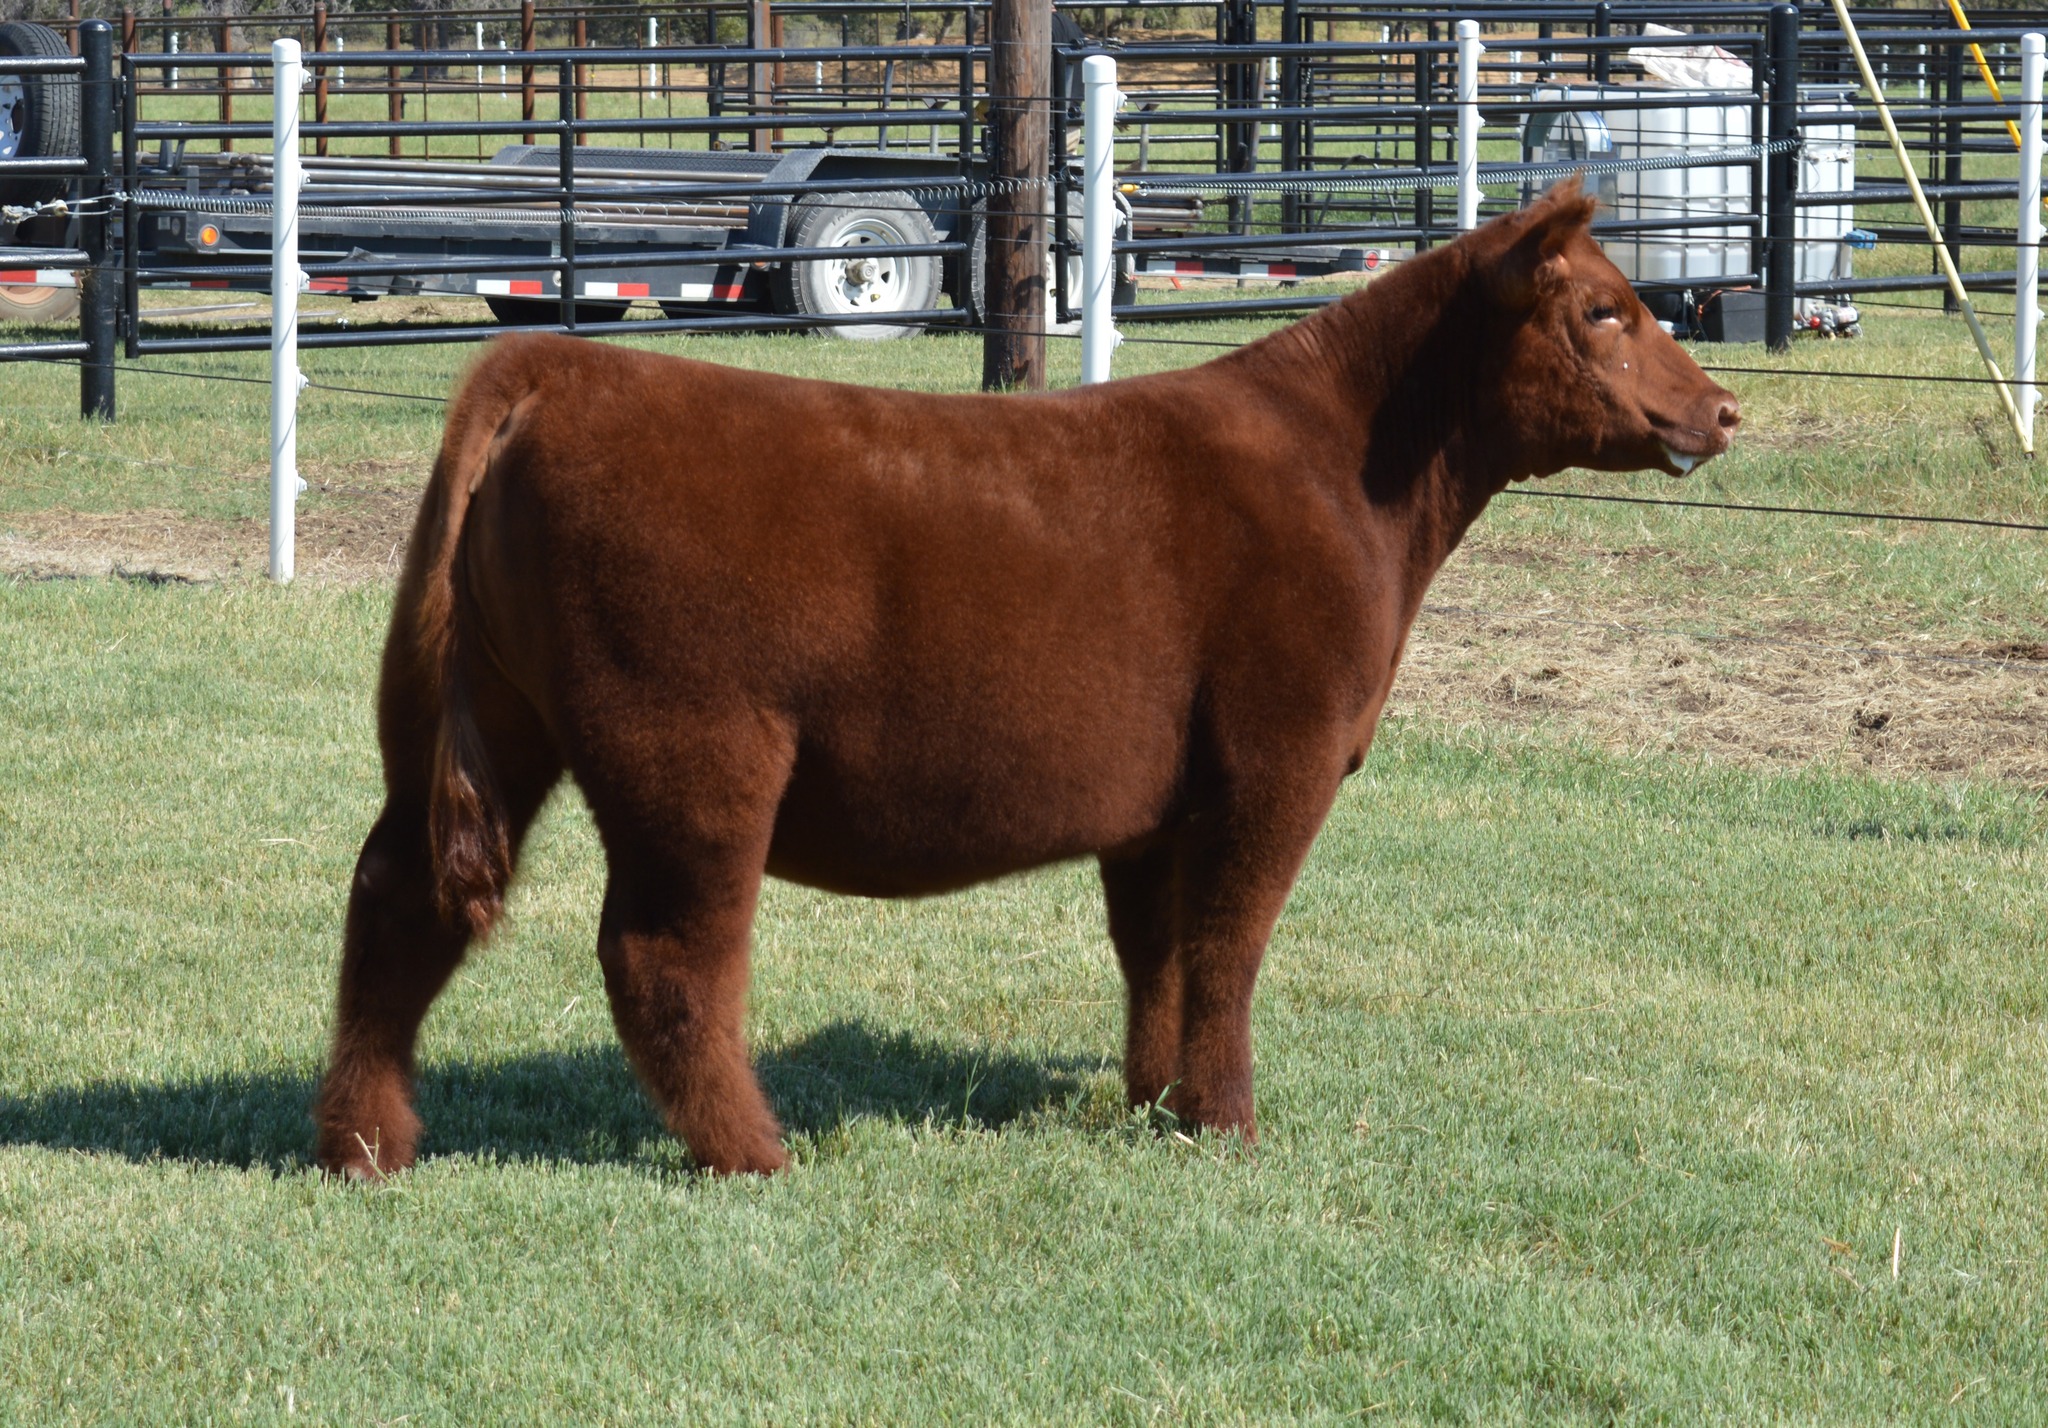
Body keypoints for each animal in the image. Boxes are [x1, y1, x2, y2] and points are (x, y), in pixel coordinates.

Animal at [314, 181, 1739, 1178]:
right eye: (1601, 309)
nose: (1722, 409)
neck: (1348, 471)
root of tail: (554, 368)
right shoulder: (1276, 757)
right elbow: (1229, 944)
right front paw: (1227, 1126)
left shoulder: (1160, 801)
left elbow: (1155, 951)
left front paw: (1157, 1104)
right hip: (695, 750)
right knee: (662, 952)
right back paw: (756, 1153)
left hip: (486, 719)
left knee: (399, 900)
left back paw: (366, 1148)